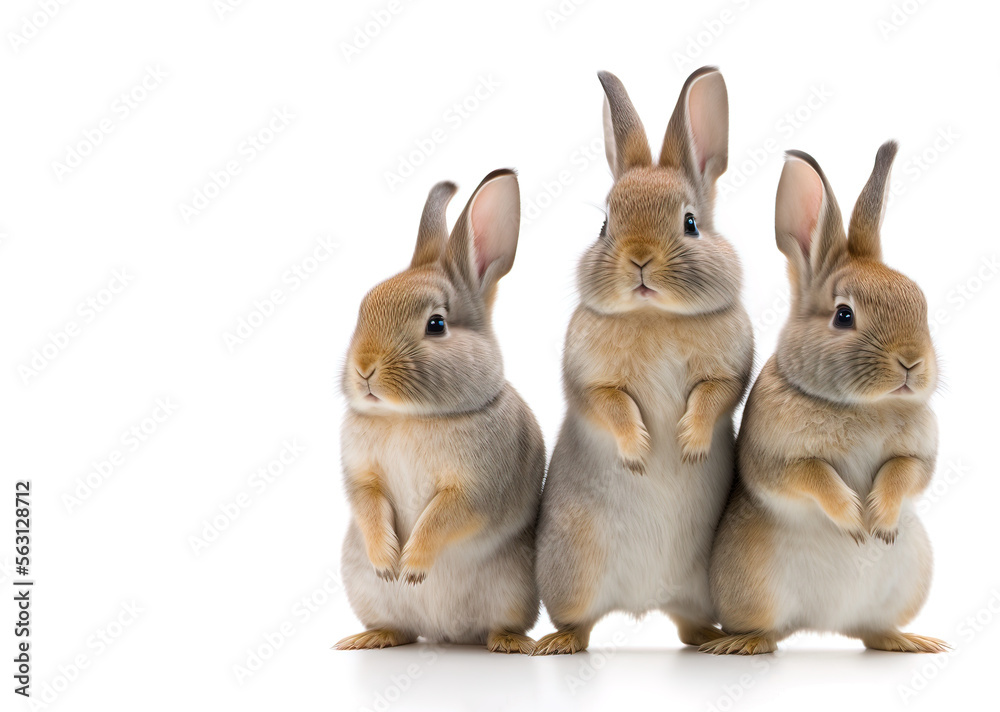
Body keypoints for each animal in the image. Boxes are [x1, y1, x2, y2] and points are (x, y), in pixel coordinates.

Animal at [334, 169, 546, 654]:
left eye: (436, 324)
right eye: (364, 307)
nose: (364, 368)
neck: (408, 417)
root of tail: (446, 632)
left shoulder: (475, 488)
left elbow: (442, 517)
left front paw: (411, 567)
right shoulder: (362, 475)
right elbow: (368, 505)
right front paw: (389, 563)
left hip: (512, 590)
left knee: (499, 625)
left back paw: (511, 643)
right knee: (397, 627)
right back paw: (366, 637)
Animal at [533, 67, 754, 655]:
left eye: (691, 223)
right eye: (605, 225)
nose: (639, 259)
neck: (655, 315)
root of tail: (641, 604)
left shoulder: (727, 371)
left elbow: (713, 396)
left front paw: (690, 444)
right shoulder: (591, 381)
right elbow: (611, 405)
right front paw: (638, 453)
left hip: (696, 588)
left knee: (683, 621)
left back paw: (711, 639)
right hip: (573, 573)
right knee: (580, 622)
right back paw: (556, 643)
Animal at [702, 142, 949, 655]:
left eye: (919, 302)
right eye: (843, 315)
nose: (912, 362)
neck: (863, 406)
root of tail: (822, 624)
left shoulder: (917, 455)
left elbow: (903, 474)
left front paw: (879, 521)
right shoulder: (781, 458)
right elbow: (813, 478)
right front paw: (854, 521)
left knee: (872, 631)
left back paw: (909, 640)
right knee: (766, 630)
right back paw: (742, 644)